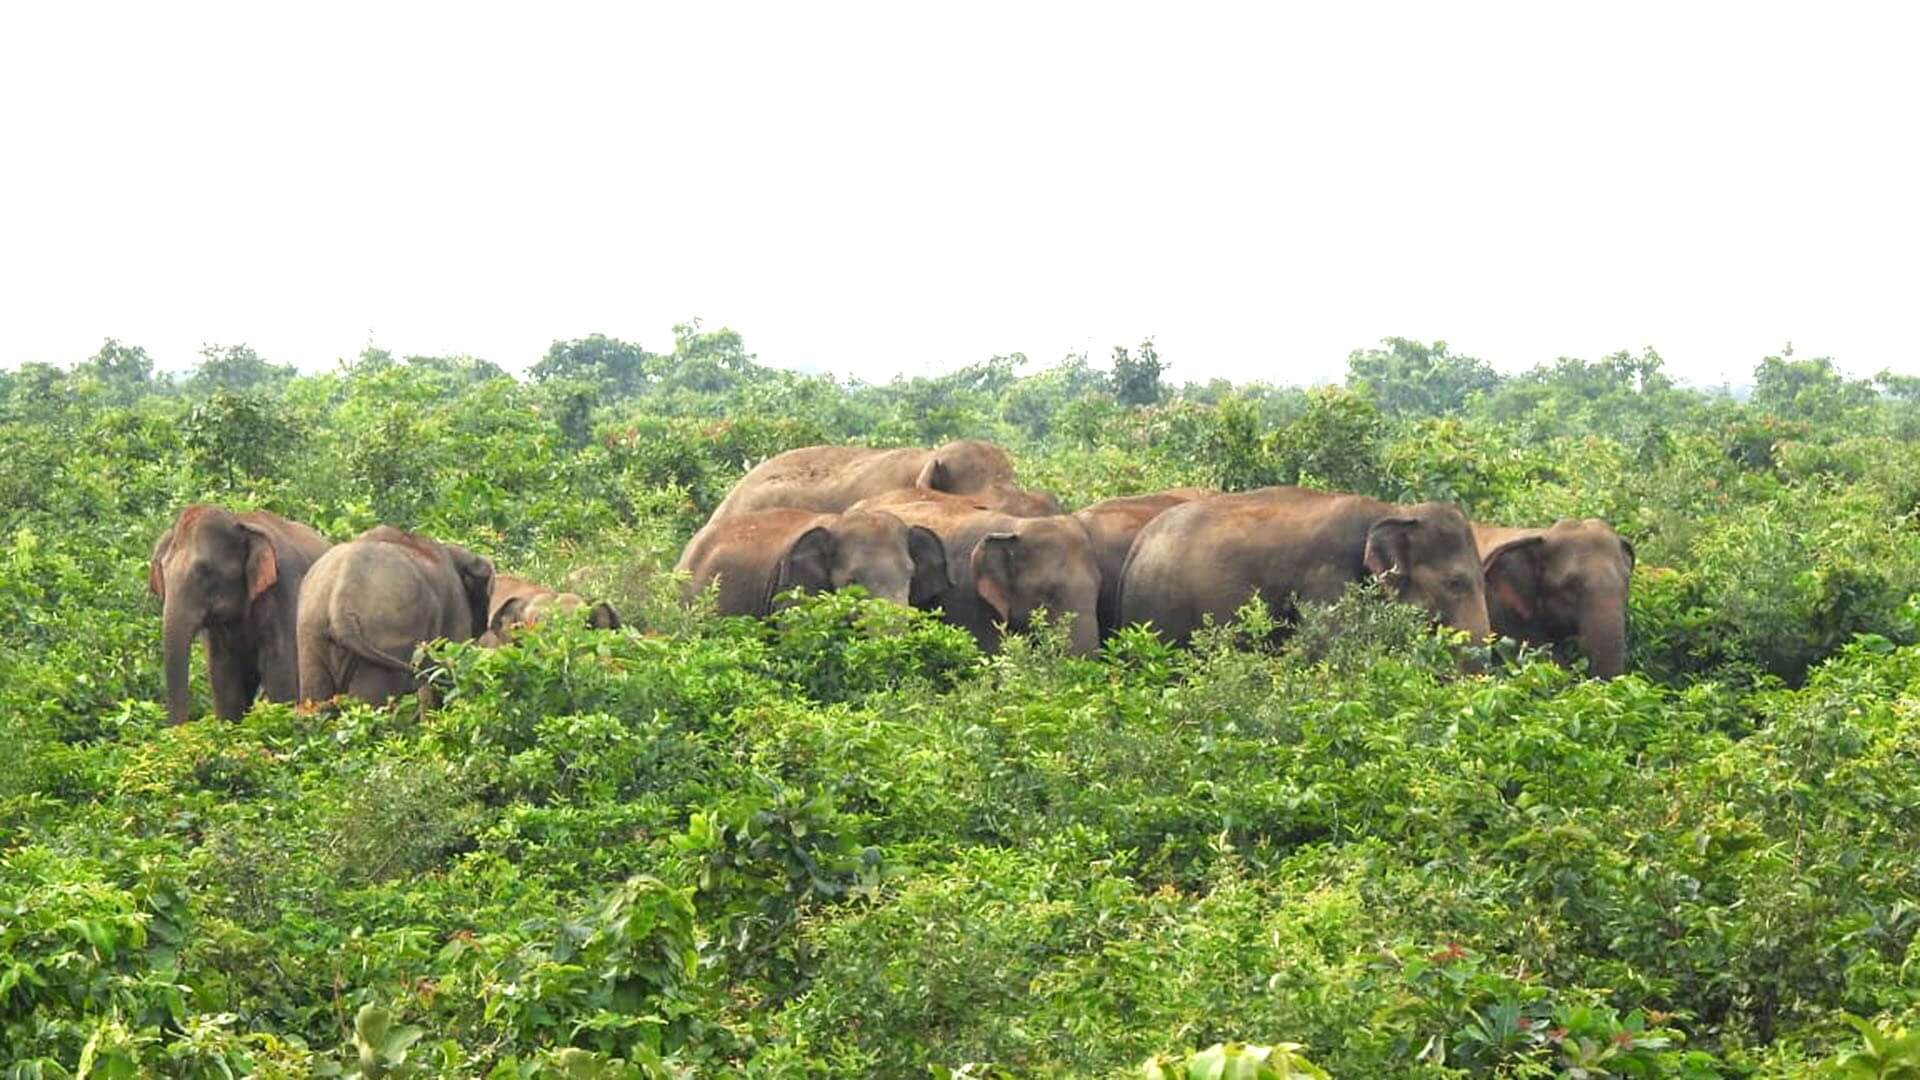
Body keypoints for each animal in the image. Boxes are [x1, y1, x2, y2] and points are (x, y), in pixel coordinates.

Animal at [149, 505, 333, 725]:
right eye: (163, 570)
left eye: (206, 571)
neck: (241, 523)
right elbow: (225, 680)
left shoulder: (289, 589)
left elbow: (282, 671)